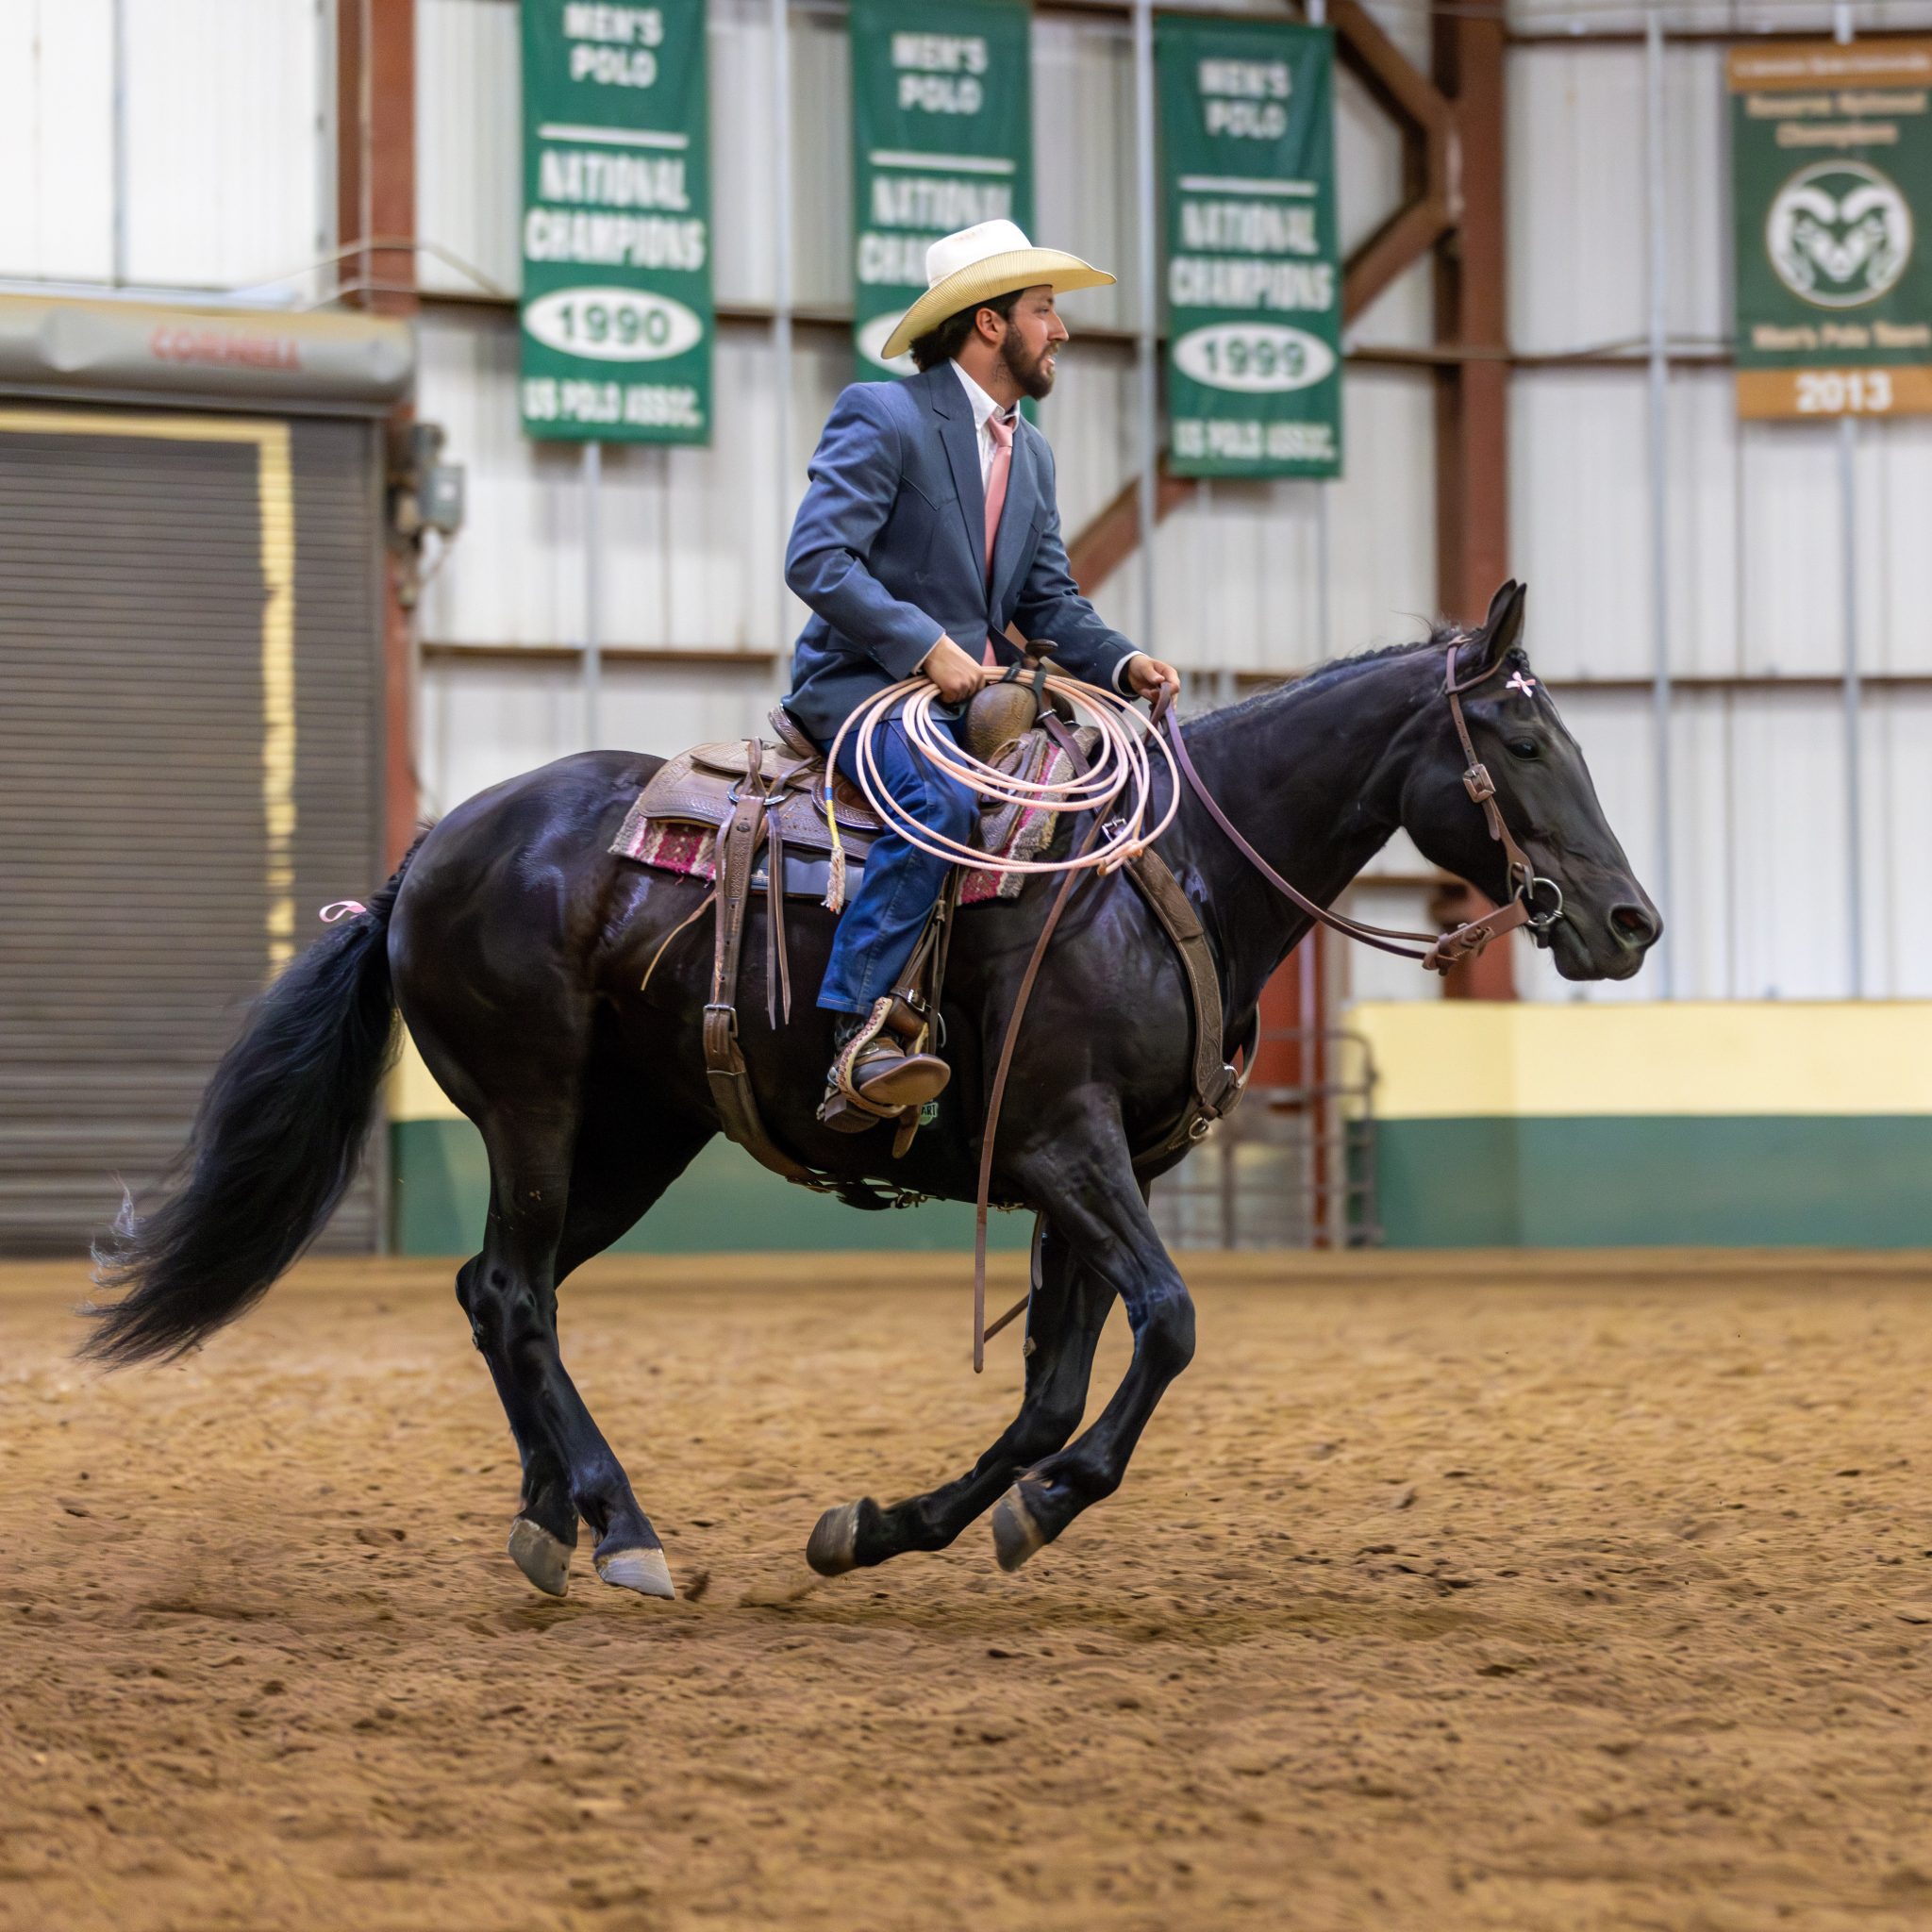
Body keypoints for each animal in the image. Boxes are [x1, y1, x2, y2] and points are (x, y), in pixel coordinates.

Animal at [85, 581, 1660, 1602]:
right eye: (1524, 743)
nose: (1631, 922)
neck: (1166, 872)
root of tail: (431, 853)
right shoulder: (1066, 1146)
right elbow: (1168, 1325)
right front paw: (1035, 1511)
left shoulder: (1093, 1172)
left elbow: (1053, 1388)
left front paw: (893, 1525)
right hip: (536, 1107)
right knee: (519, 1293)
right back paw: (623, 1525)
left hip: (640, 1134)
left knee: (494, 1291)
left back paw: (552, 1521)